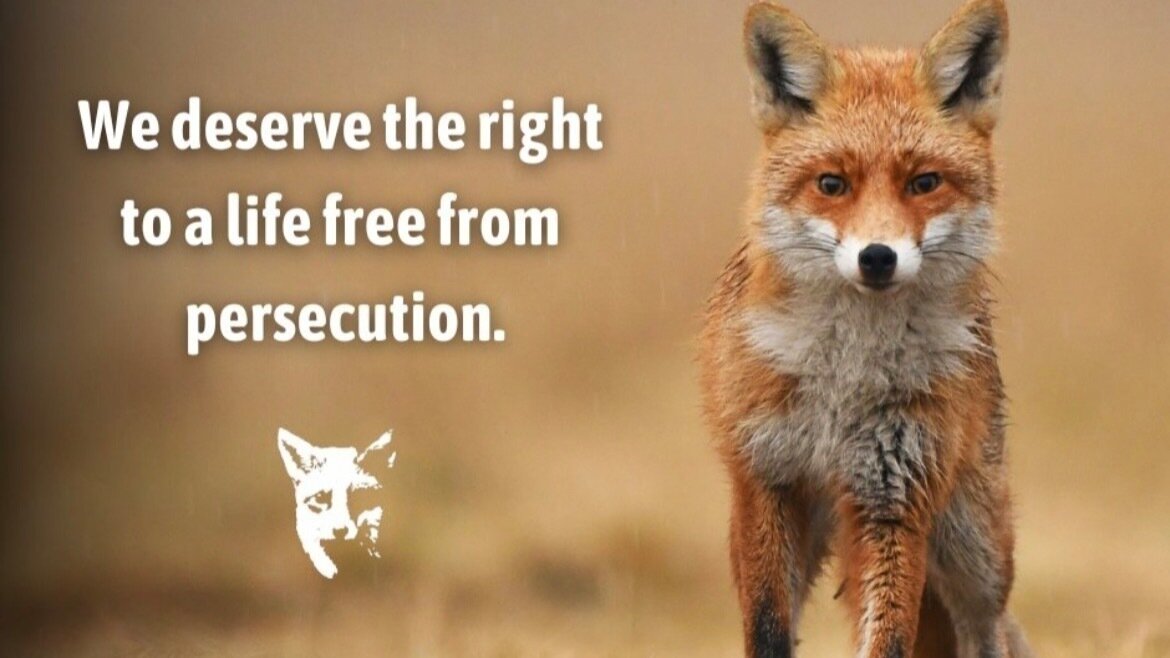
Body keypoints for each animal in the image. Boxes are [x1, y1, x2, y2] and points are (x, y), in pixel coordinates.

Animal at [699, 1, 1033, 656]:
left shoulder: (894, 496)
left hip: (974, 546)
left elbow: (889, 637)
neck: (844, 373)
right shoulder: (765, 479)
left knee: (988, 627)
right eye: (833, 184)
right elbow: (769, 627)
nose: (877, 257)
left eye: (923, 183)